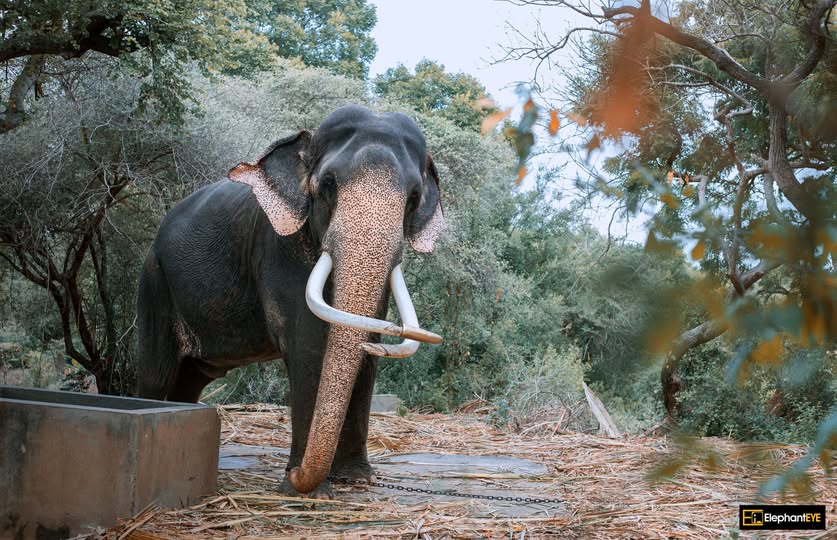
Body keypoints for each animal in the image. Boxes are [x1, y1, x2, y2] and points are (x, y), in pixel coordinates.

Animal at [135, 104, 445, 498]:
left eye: (414, 198)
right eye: (327, 185)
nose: (298, 474)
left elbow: (364, 345)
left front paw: (357, 480)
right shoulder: (276, 247)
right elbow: (307, 345)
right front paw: (308, 490)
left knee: (190, 377)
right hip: (155, 281)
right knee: (156, 374)